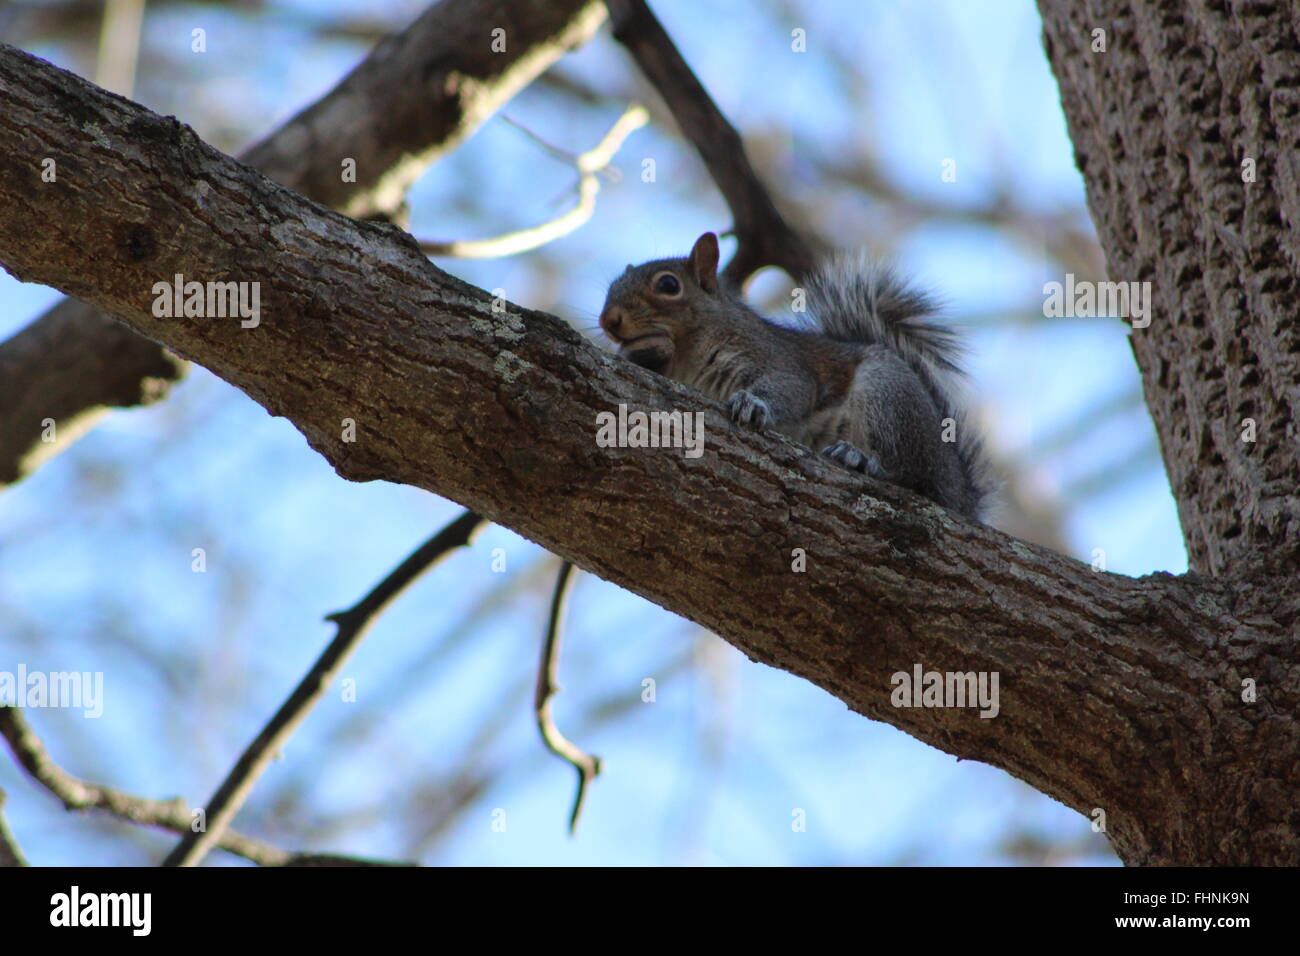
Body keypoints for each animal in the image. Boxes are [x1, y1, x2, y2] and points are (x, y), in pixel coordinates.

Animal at [598, 232, 994, 520]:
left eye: (668, 285)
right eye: (613, 284)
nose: (608, 320)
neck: (687, 354)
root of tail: (959, 492)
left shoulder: (768, 355)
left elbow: (791, 388)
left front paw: (752, 404)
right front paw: (642, 352)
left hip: (890, 396)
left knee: (910, 476)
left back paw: (861, 460)